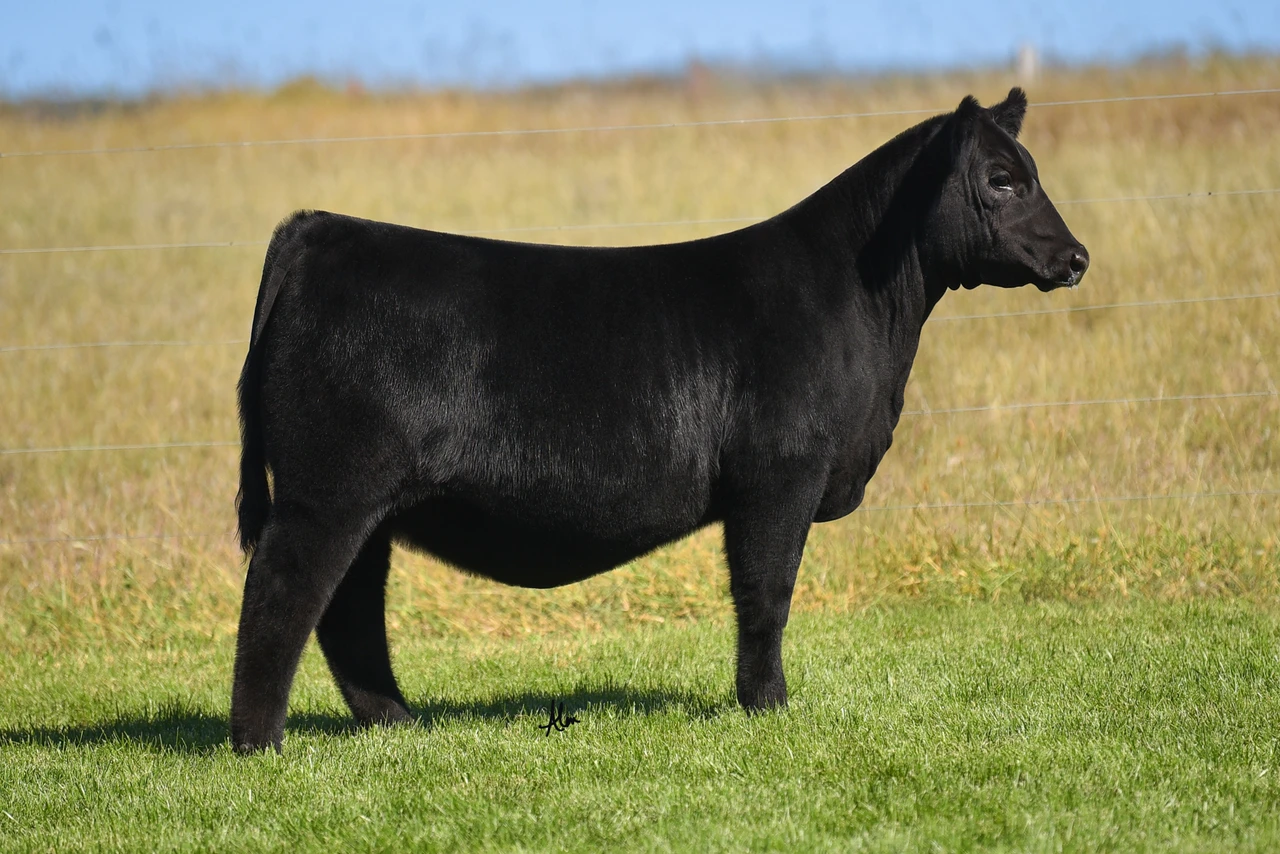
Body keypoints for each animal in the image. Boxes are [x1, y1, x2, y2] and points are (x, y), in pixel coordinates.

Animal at [231, 88, 1088, 753]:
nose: (1077, 257)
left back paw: (397, 723)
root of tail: (320, 227)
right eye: (1002, 179)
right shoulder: (780, 475)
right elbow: (767, 591)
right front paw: (768, 705)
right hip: (328, 489)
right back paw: (259, 743)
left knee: (348, 611)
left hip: (368, 503)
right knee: (284, 595)